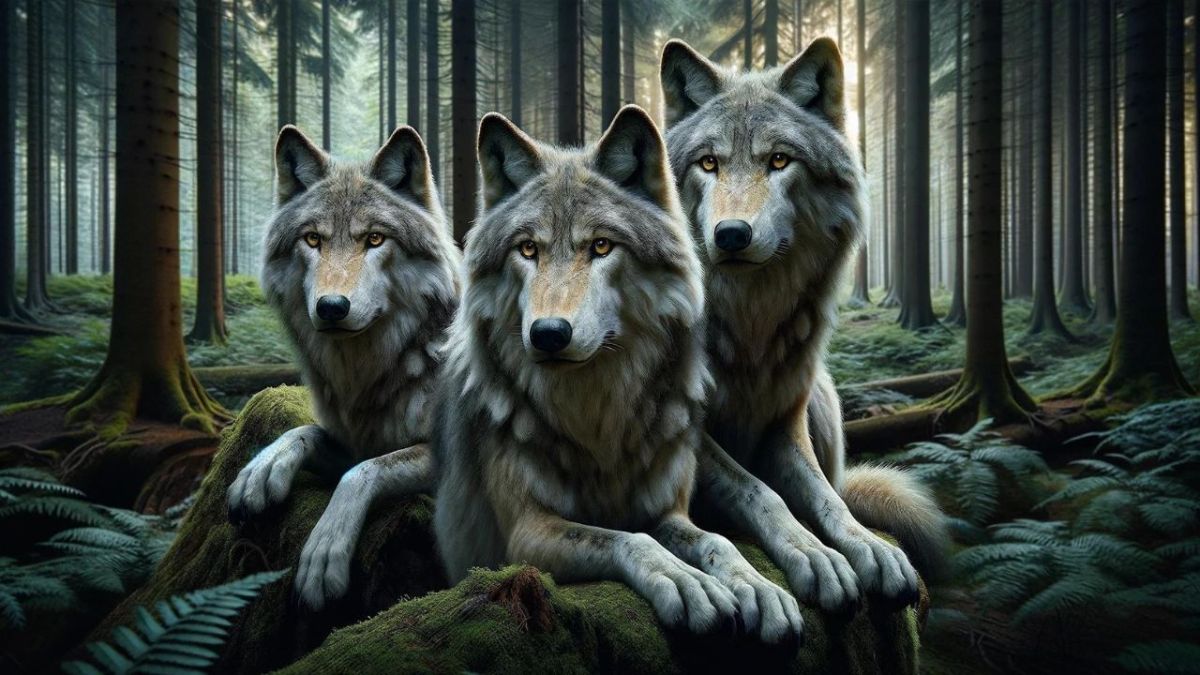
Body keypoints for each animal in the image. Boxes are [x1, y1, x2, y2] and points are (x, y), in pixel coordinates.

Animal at [226, 125, 460, 610]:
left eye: (374, 239)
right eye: (313, 240)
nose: (332, 307)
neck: (372, 376)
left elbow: (364, 471)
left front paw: (323, 553)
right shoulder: (351, 438)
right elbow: (306, 432)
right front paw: (260, 470)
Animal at [431, 106, 803, 642]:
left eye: (602, 246)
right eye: (528, 250)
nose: (548, 333)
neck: (597, 419)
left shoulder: (668, 510)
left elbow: (718, 541)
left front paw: (757, 588)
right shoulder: (526, 533)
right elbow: (630, 540)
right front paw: (687, 582)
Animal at [660, 38, 948, 611]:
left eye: (779, 160)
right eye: (708, 163)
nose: (731, 234)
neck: (746, 321)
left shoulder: (785, 423)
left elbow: (827, 500)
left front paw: (867, 548)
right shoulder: (691, 436)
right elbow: (761, 493)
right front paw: (815, 557)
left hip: (820, 394)